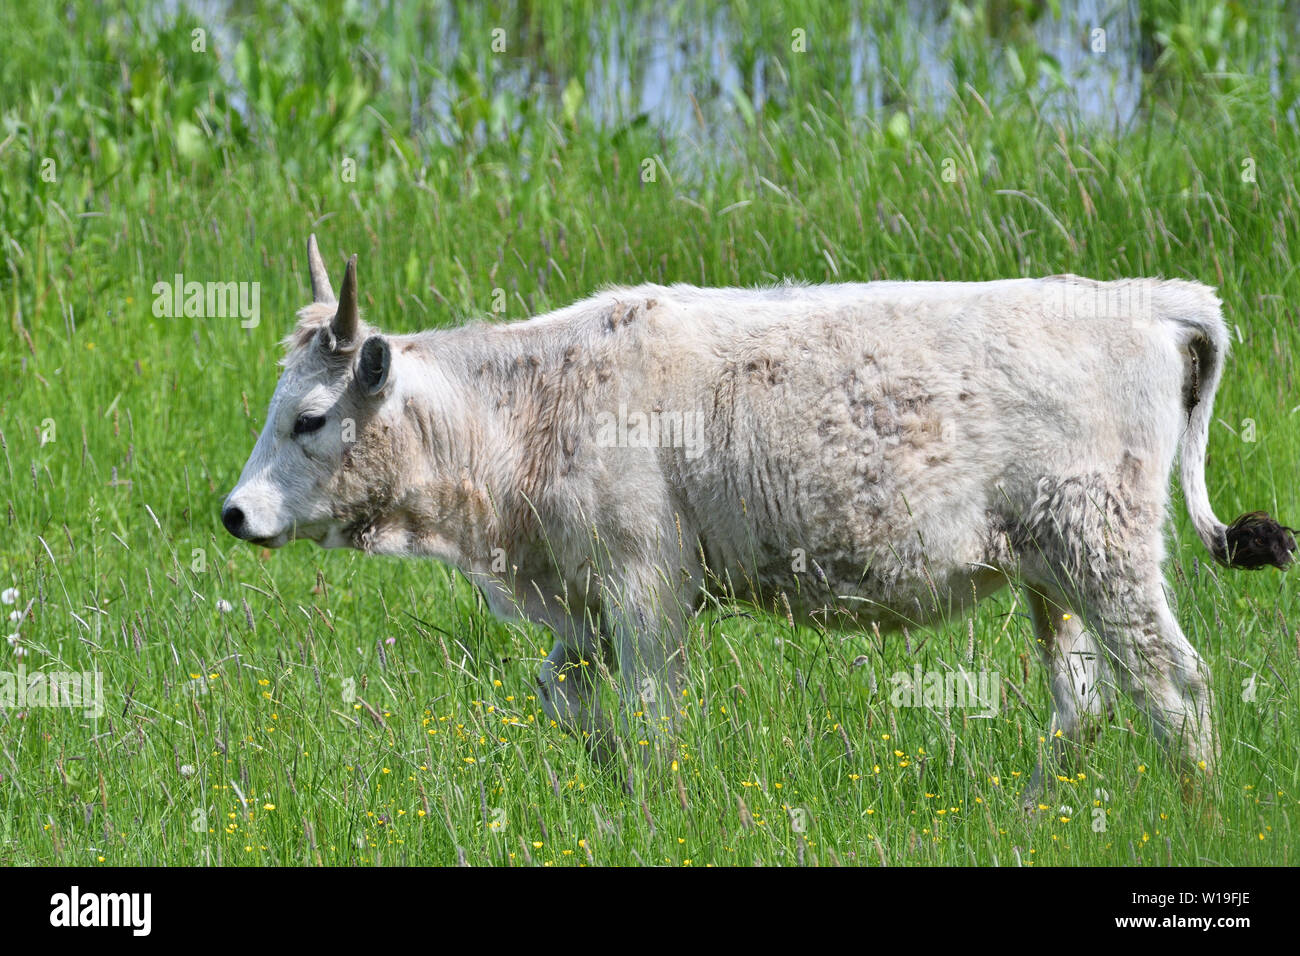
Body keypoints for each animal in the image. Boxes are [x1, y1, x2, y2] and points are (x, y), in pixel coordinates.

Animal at [223, 235, 1294, 793]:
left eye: (310, 416)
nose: (234, 513)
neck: (534, 404)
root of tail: (1151, 299)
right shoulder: (584, 602)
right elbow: (562, 695)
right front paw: (609, 779)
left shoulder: (644, 588)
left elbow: (652, 714)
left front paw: (652, 799)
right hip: (1051, 577)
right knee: (1084, 704)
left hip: (1106, 558)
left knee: (1176, 690)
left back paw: (1195, 814)